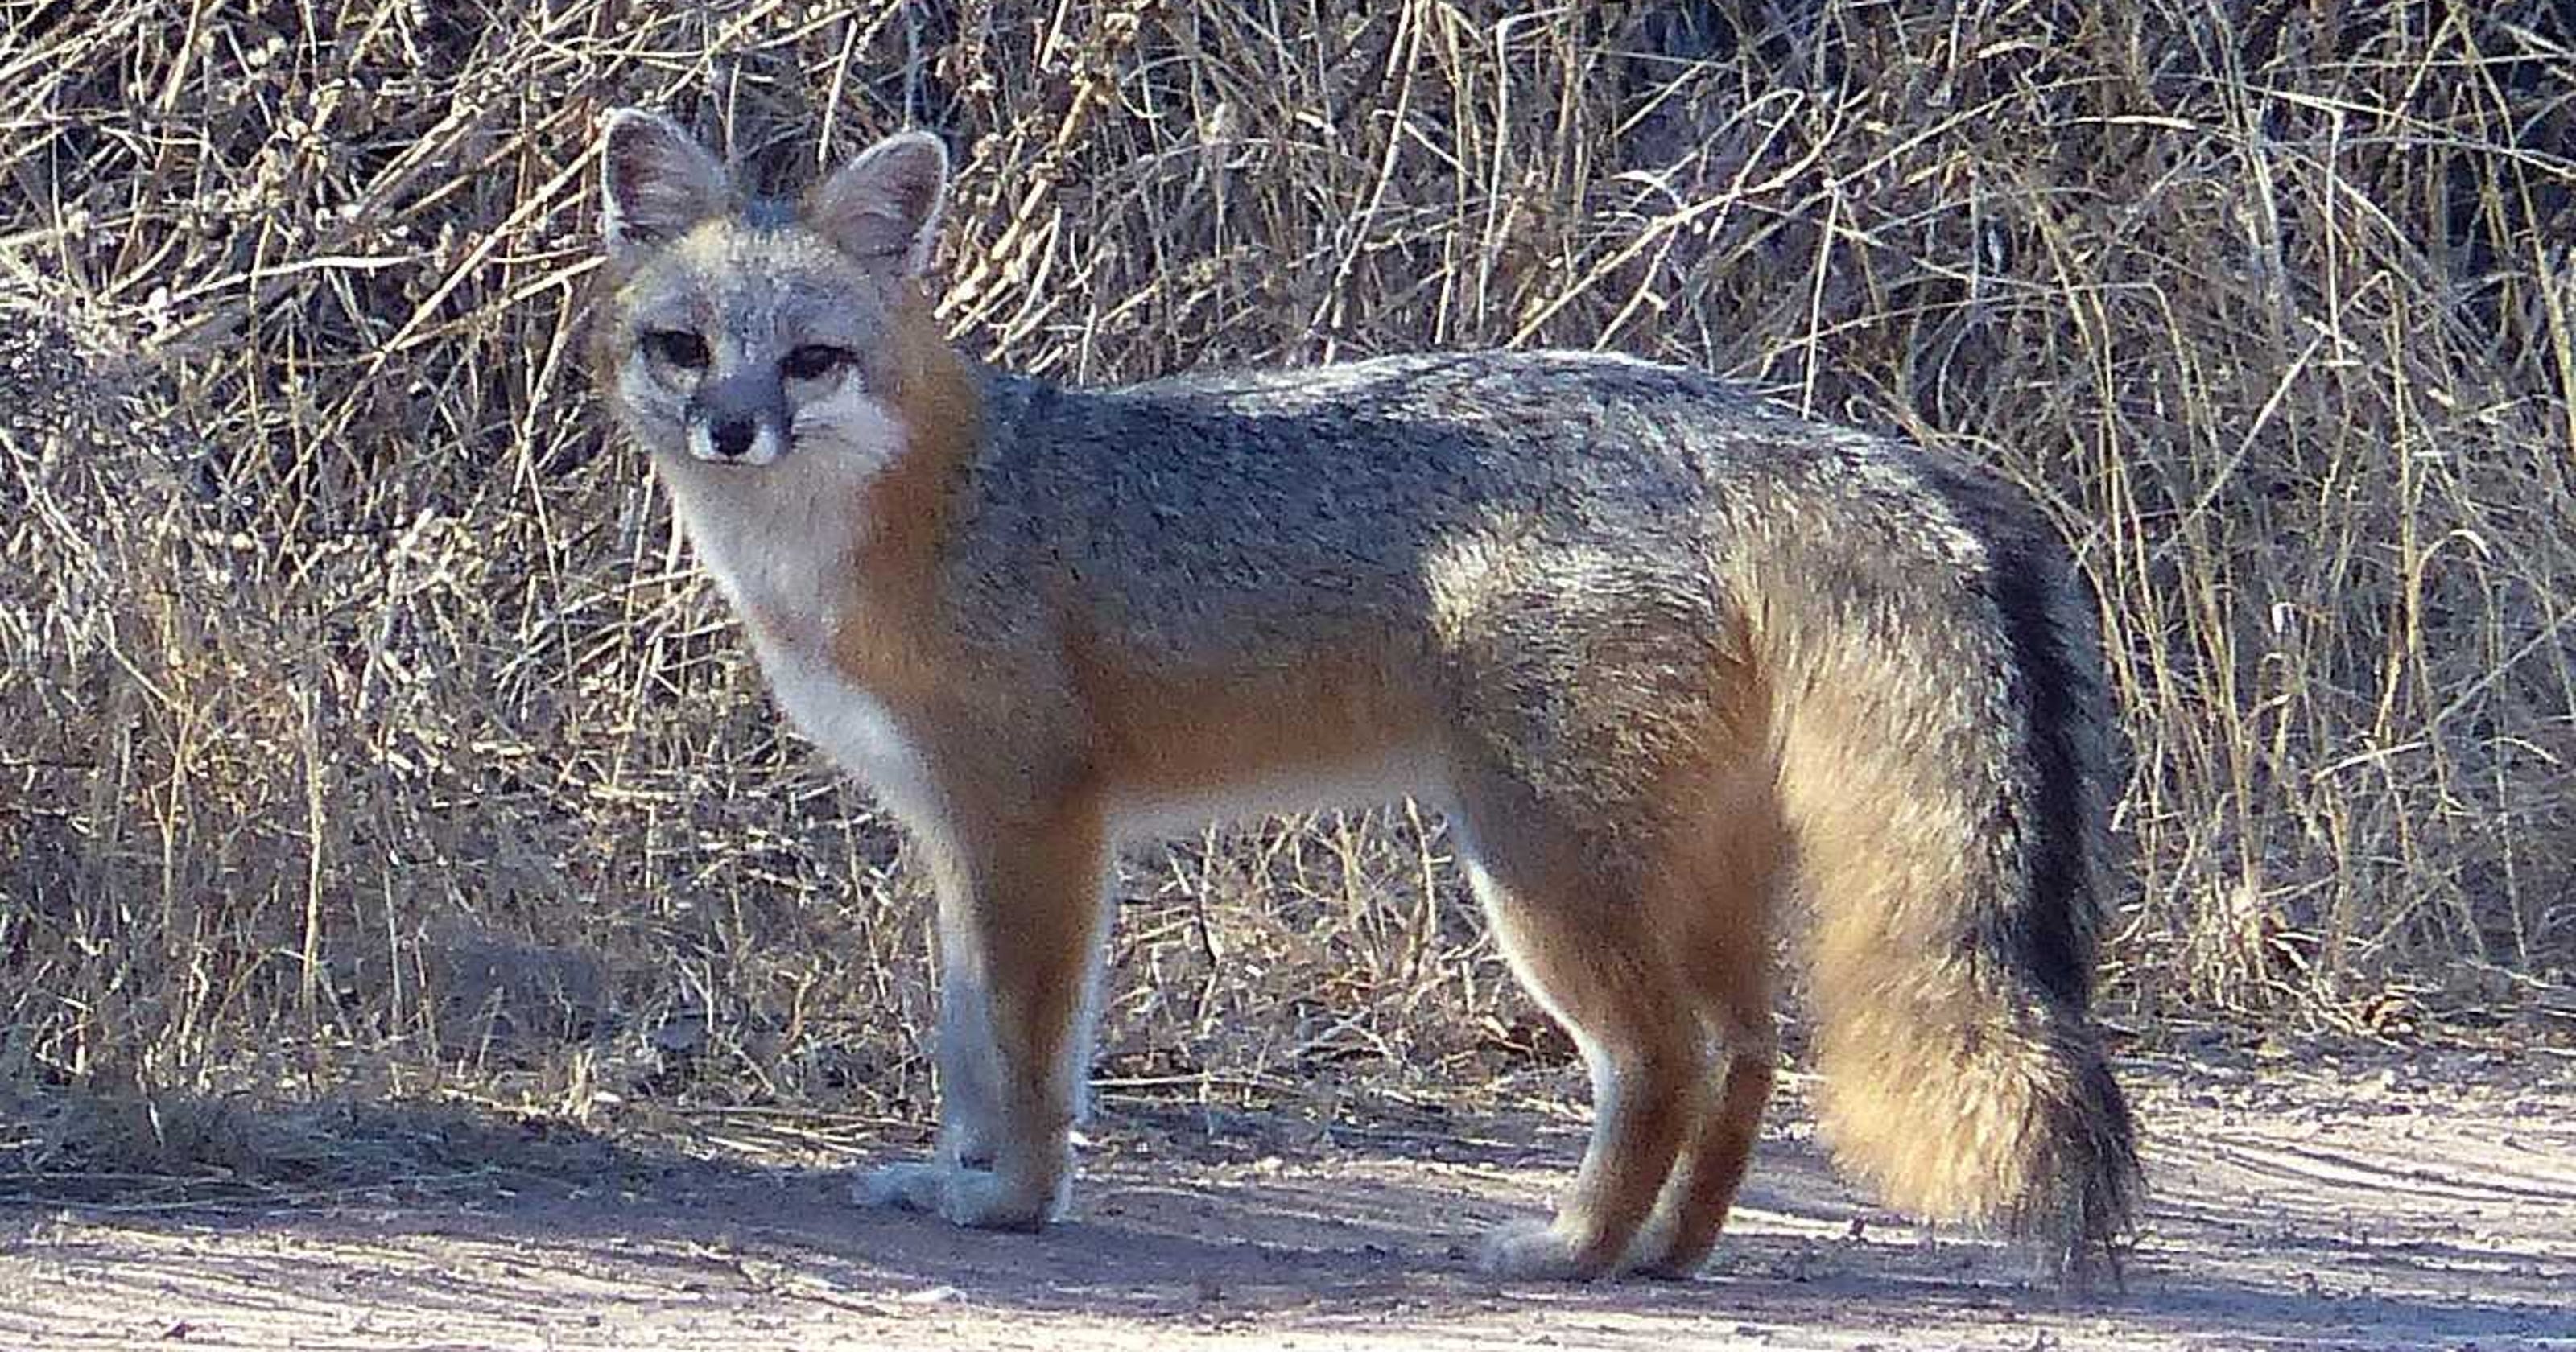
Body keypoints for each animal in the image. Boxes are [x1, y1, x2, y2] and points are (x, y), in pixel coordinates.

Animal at [588, 108, 2141, 1287]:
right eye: (685, 346)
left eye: (811, 359)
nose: (732, 428)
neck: (919, 509)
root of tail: (1751, 424)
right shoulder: (953, 836)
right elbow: (967, 1043)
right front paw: (950, 1176)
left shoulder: (1039, 827)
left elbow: (1027, 1054)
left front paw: (1014, 1203)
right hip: (1679, 872)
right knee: (1752, 1054)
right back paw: (1666, 1258)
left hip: (1536, 871)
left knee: (1666, 1061)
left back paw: (1574, 1252)